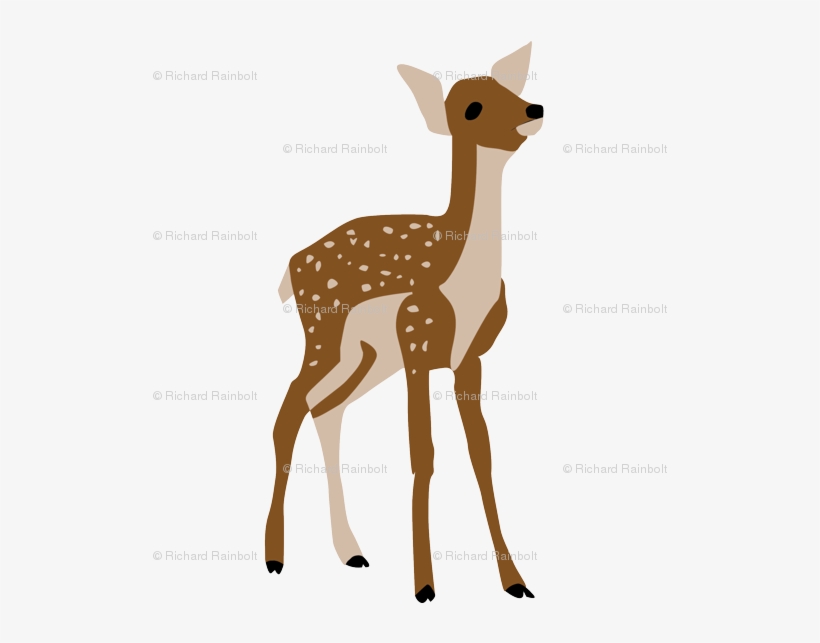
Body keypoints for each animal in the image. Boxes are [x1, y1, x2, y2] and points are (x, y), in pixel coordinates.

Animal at [265, 42, 542, 602]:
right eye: (471, 108)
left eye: (510, 89)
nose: (534, 109)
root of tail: (291, 267)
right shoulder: (417, 340)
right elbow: (424, 453)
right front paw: (424, 586)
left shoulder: (469, 358)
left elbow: (482, 455)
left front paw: (515, 582)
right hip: (324, 332)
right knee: (289, 411)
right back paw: (275, 558)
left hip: (368, 357)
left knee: (325, 409)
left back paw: (352, 551)